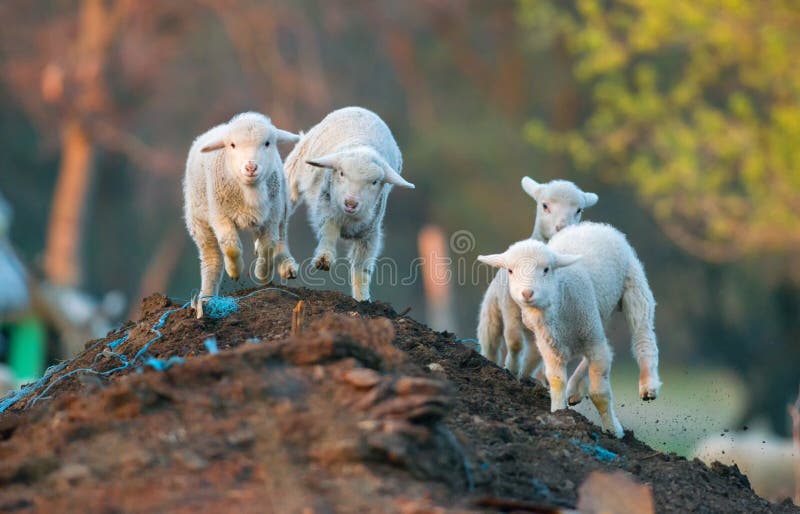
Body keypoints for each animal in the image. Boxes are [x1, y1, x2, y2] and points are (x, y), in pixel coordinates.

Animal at [183, 112, 300, 317]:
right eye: (232, 145)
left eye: (267, 143)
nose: (251, 167)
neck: (250, 190)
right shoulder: (219, 215)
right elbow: (230, 247)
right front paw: (235, 271)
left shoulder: (272, 213)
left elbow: (268, 245)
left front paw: (263, 274)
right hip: (199, 220)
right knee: (211, 258)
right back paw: (206, 298)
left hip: (282, 205)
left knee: (281, 237)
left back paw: (286, 265)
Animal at [284, 106, 414, 301]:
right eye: (341, 173)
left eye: (375, 182)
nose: (351, 203)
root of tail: (360, 109)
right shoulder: (326, 210)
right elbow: (328, 232)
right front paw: (324, 259)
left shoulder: (370, 233)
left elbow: (362, 268)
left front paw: (363, 299)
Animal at [477, 177, 598, 379]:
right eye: (545, 206)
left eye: (579, 210)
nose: (561, 228)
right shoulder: (509, 306)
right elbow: (515, 341)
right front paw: (511, 368)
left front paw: (520, 372)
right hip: (491, 314)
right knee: (491, 345)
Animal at [478, 222, 662, 438]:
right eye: (510, 271)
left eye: (546, 269)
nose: (527, 293)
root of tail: (594, 226)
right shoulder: (551, 346)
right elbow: (556, 380)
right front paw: (559, 412)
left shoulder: (591, 337)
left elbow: (599, 394)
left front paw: (613, 430)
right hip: (598, 314)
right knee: (604, 349)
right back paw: (574, 390)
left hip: (633, 288)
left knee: (643, 335)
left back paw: (648, 385)